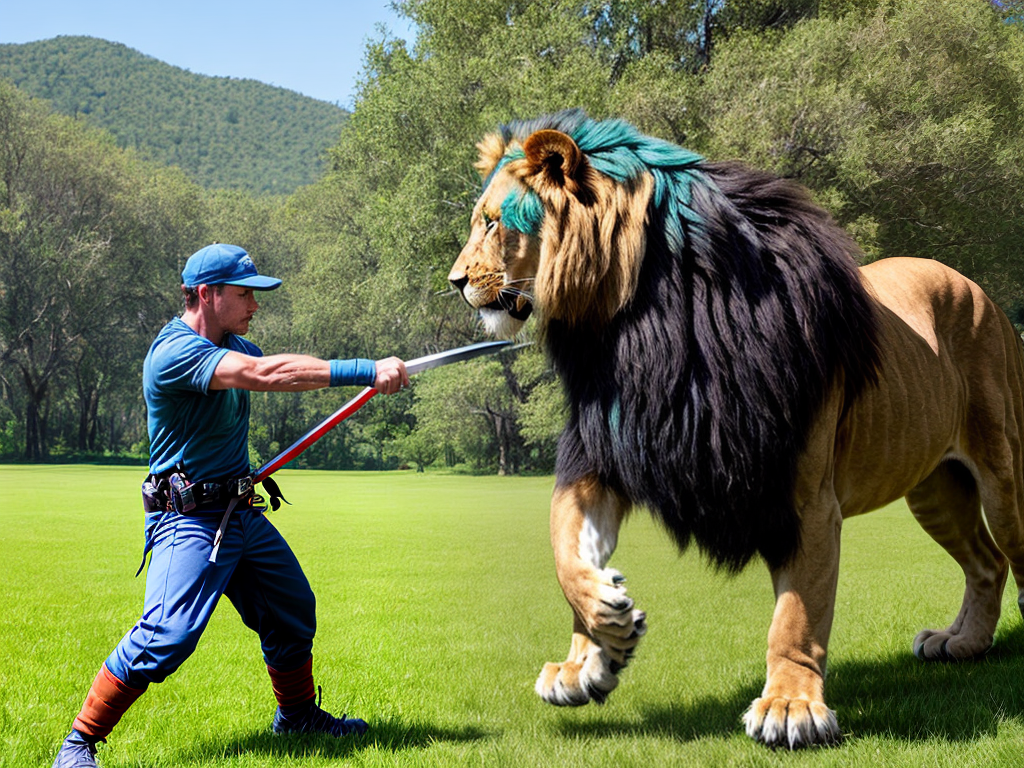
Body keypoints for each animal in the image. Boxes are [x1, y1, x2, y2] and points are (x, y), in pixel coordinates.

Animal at [448, 110, 1024, 748]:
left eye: (493, 222)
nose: (456, 281)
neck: (637, 325)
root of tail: (978, 290)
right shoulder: (602, 455)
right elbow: (566, 552)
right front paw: (597, 643)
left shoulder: (803, 494)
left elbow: (796, 615)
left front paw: (791, 705)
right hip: (935, 488)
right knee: (986, 563)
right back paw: (961, 641)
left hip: (1001, 476)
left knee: (1012, 551)